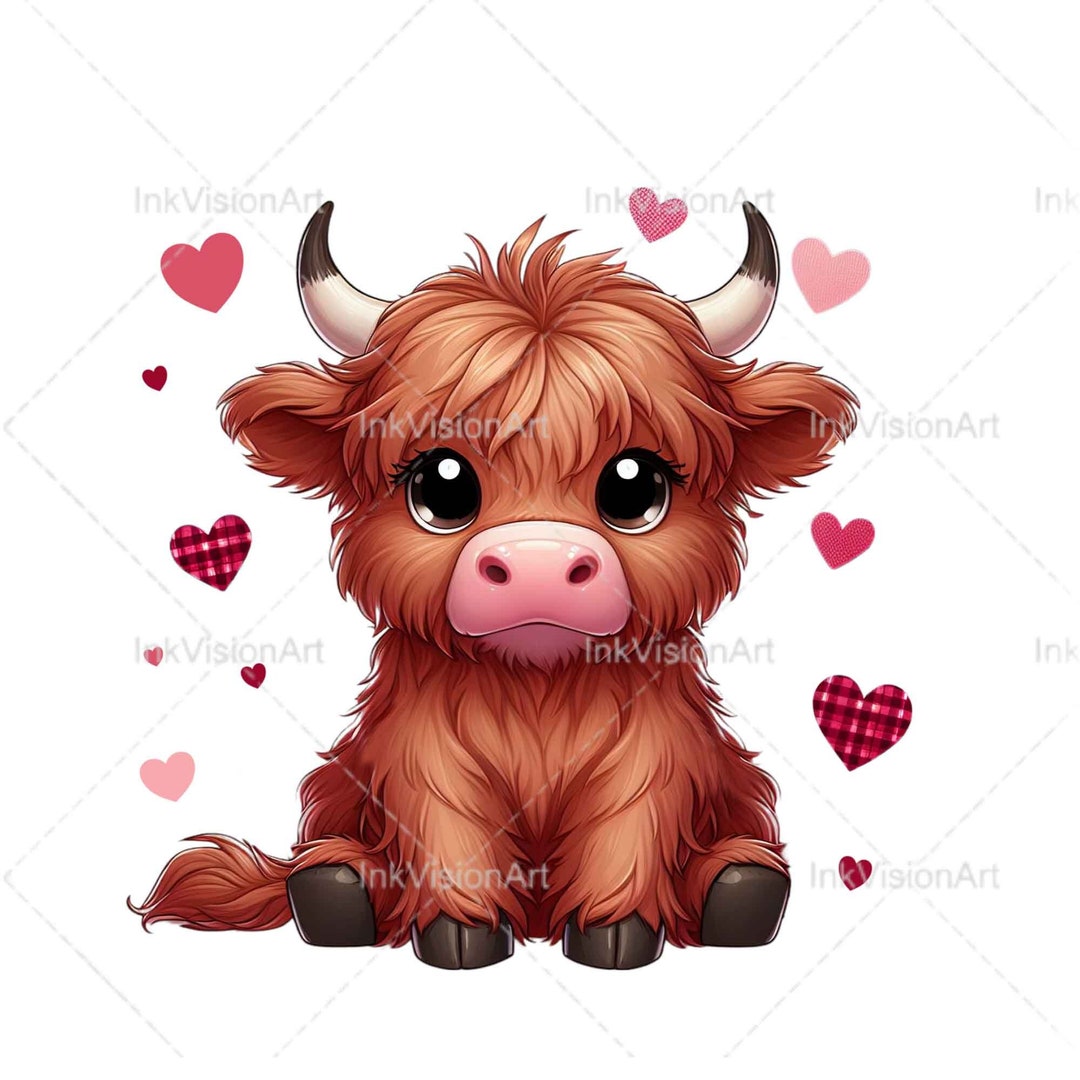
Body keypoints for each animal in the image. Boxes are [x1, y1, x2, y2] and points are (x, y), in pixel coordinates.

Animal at [132, 201, 857, 969]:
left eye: (637, 485)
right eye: (441, 484)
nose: (538, 564)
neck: (537, 691)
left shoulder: (652, 756)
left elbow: (626, 830)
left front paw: (616, 931)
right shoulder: (422, 758)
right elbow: (448, 831)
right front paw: (461, 932)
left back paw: (739, 888)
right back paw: (335, 887)